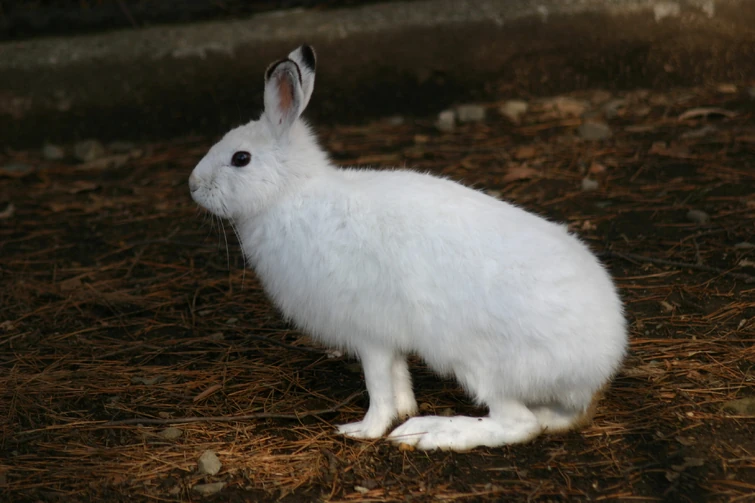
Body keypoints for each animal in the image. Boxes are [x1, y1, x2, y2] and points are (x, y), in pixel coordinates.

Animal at [188, 45, 628, 451]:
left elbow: (378, 386)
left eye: (240, 158)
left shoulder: (370, 333)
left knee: (518, 423)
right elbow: (398, 380)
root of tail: (601, 360)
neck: (289, 195)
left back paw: (432, 433)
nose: (193, 186)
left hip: (479, 362)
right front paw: (403, 410)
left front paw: (365, 430)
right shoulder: (390, 341)